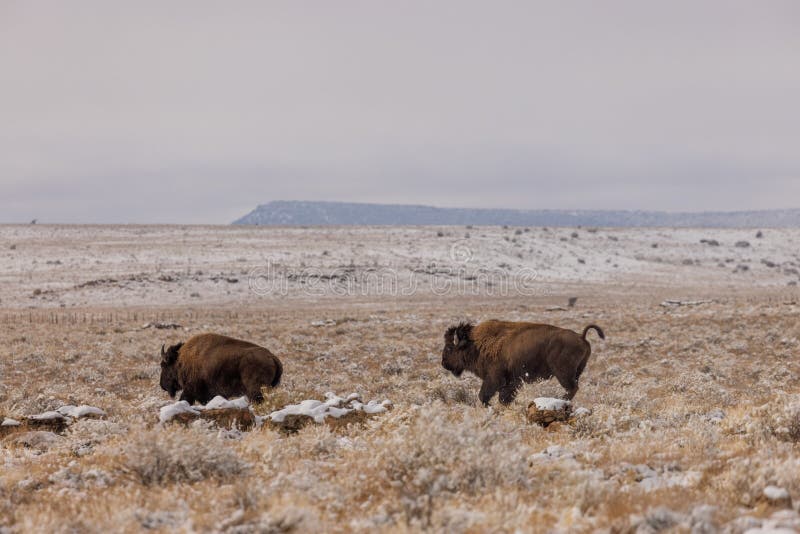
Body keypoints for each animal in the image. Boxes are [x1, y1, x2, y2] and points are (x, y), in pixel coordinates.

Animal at [441, 320, 604, 405]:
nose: (443, 363)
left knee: (572, 388)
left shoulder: (494, 379)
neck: (475, 344)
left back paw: (559, 400)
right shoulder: (512, 382)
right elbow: (503, 398)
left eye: (449, 348)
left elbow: (484, 395)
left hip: (563, 373)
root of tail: (581, 337)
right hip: (575, 372)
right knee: (574, 387)